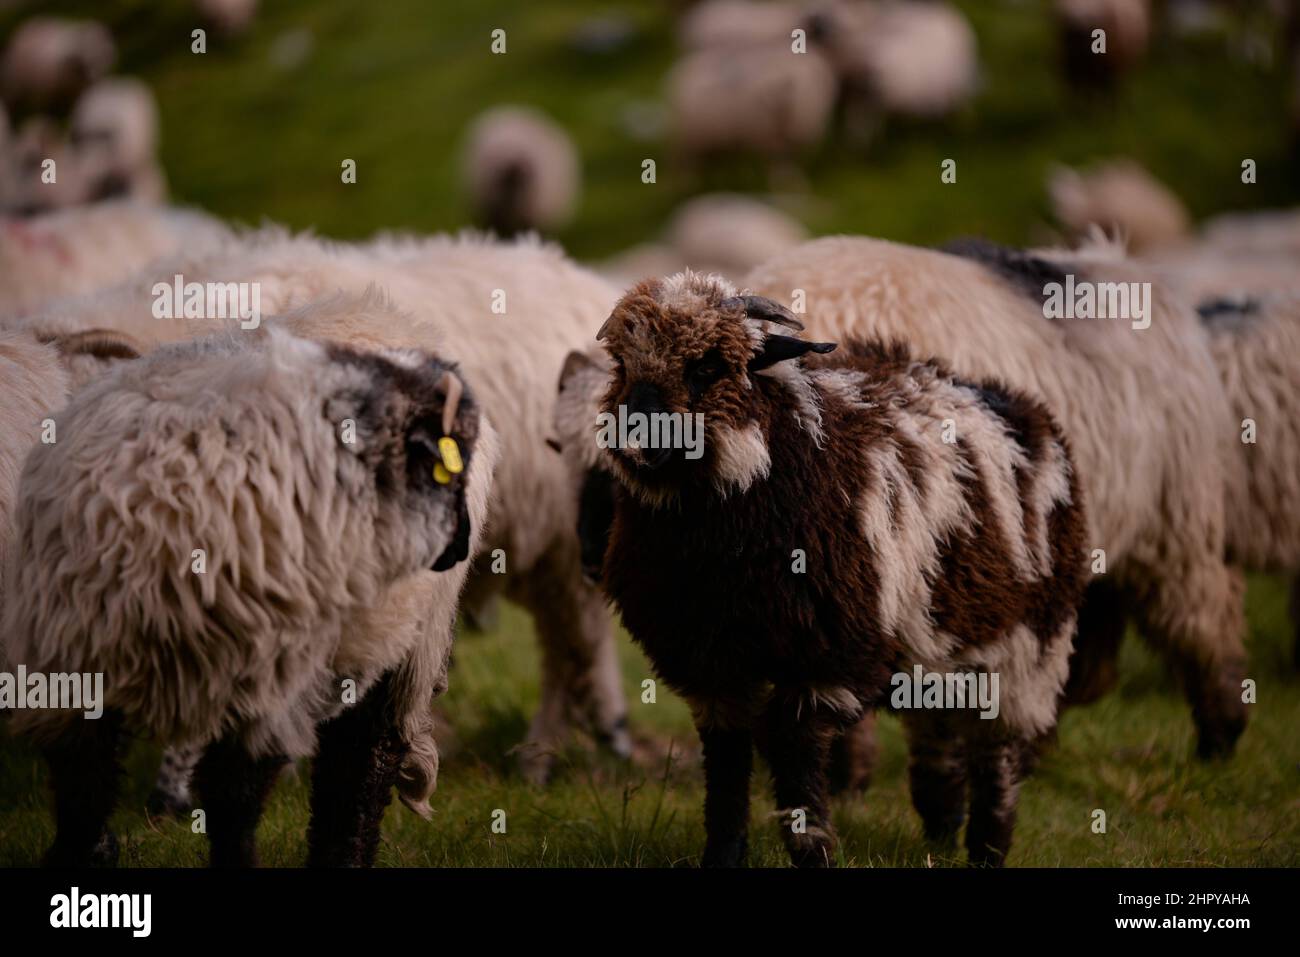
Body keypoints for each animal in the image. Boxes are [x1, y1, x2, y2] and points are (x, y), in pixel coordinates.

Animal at [2, 312, 495, 867]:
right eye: (444, 468)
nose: (459, 546)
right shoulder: (74, 672)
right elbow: (83, 798)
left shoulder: (262, 691)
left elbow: (232, 801)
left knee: (361, 762)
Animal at [589, 273, 1089, 866]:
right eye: (622, 364)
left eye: (709, 365)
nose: (633, 444)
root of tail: (1018, 403)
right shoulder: (712, 662)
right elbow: (727, 767)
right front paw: (725, 855)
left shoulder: (826, 659)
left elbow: (797, 754)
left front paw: (815, 852)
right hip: (939, 643)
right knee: (939, 737)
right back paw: (942, 835)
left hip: (1028, 648)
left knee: (999, 758)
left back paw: (986, 850)